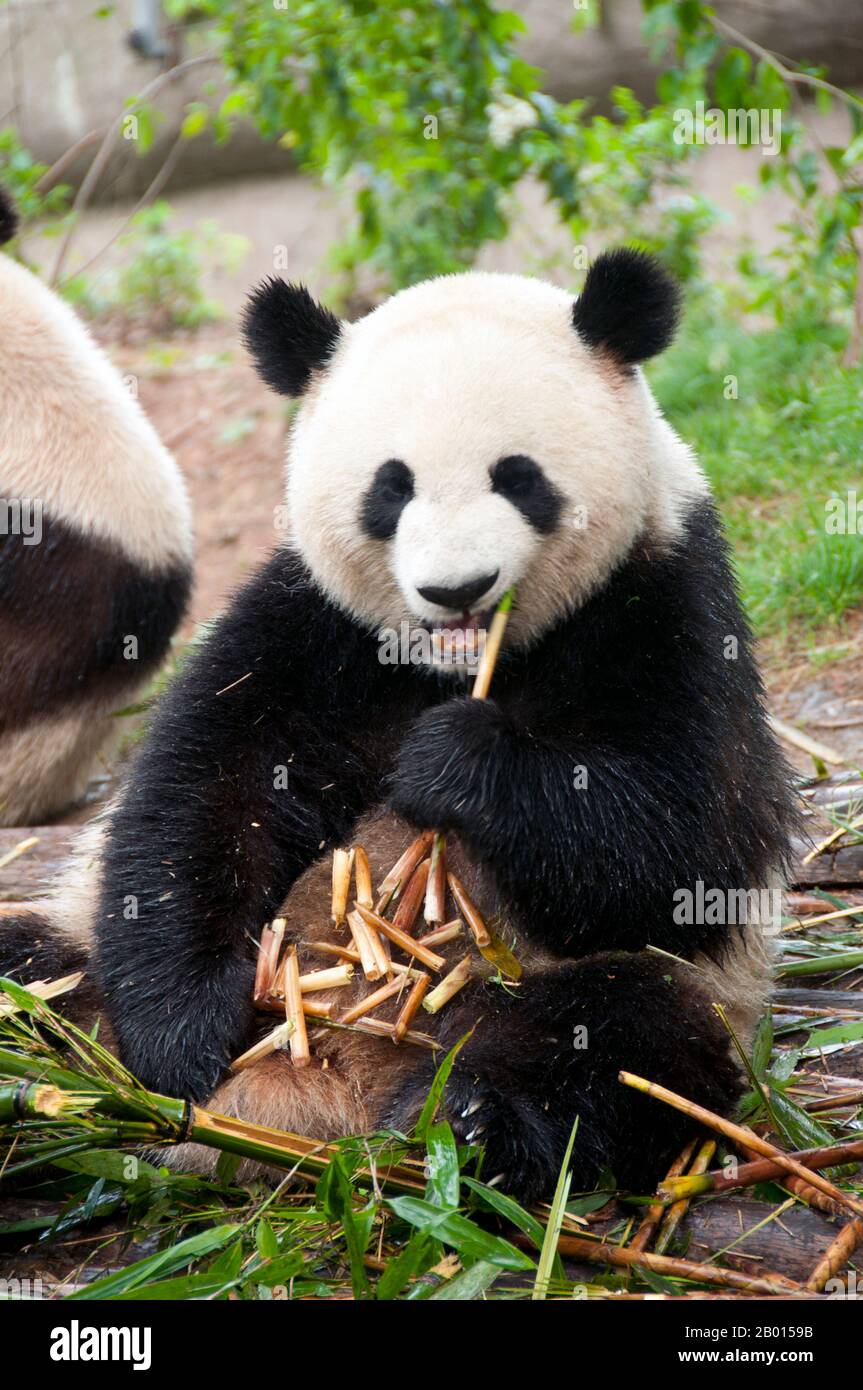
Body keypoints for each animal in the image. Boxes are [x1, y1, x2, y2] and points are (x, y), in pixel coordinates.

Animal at [1, 249, 795, 1202]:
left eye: (516, 476)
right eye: (391, 487)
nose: (458, 589)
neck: (463, 662)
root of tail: (320, 1099)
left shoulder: (667, 599)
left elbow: (686, 837)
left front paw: (455, 763)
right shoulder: (310, 623)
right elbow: (200, 798)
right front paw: (180, 1041)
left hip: (602, 995)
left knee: (621, 1042)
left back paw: (474, 1126)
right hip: (70, 954)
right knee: (31, 965)